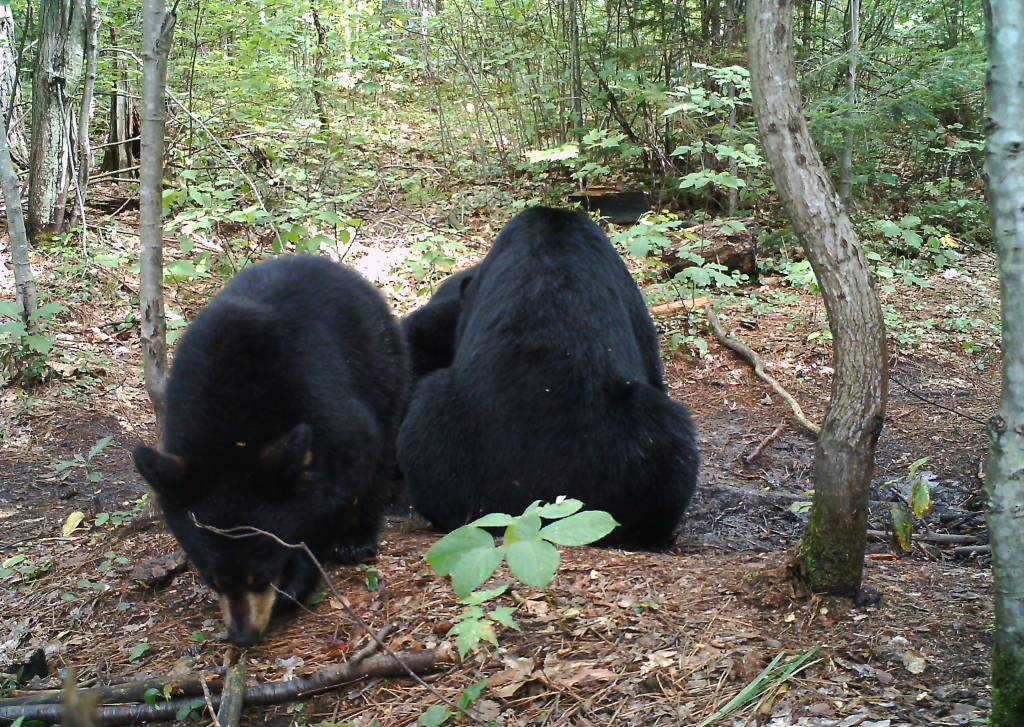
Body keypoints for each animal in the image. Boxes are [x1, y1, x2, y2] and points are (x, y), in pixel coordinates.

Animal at [133, 255, 408, 645]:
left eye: (260, 575)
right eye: (213, 580)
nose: (242, 636)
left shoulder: (320, 403)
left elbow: (345, 475)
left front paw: (298, 578)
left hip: (384, 362)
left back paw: (359, 538)